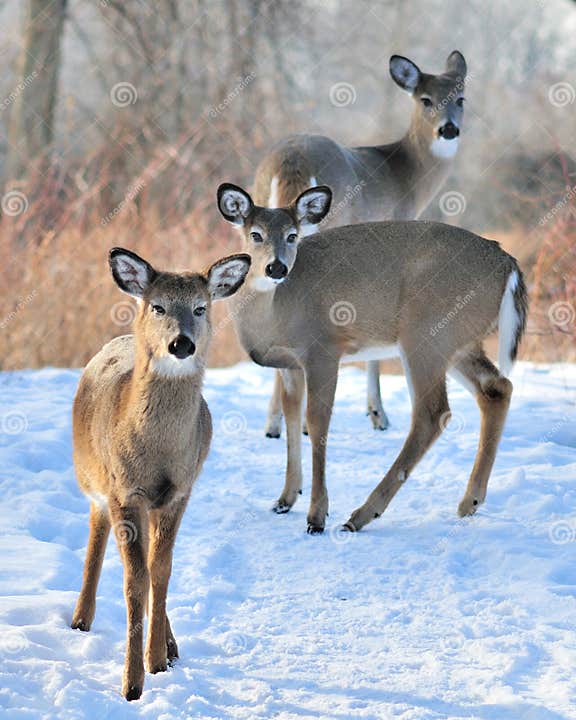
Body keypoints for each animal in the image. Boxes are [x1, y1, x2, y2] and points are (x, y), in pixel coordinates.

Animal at [70, 247, 250, 701]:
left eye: (201, 307)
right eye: (158, 306)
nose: (181, 343)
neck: (157, 453)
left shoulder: (178, 492)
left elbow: (161, 570)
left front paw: (156, 660)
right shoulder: (125, 492)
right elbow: (135, 578)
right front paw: (131, 683)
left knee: (152, 561)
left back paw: (171, 645)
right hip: (92, 478)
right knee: (97, 530)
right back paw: (81, 619)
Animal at [217, 183, 527, 535]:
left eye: (292, 235)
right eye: (255, 234)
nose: (276, 268)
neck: (271, 313)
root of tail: (508, 263)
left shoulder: (323, 349)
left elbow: (317, 421)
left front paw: (316, 516)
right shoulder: (289, 365)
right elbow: (292, 417)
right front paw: (285, 499)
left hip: (427, 332)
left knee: (433, 413)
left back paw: (361, 515)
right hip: (460, 342)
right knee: (496, 388)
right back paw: (468, 503)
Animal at [253, 50, 467, 436]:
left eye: (461, 99)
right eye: (426, 99)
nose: (448, 129)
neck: (407, 175)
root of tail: (292, 160)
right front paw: (378, 413)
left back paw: (274, 423)